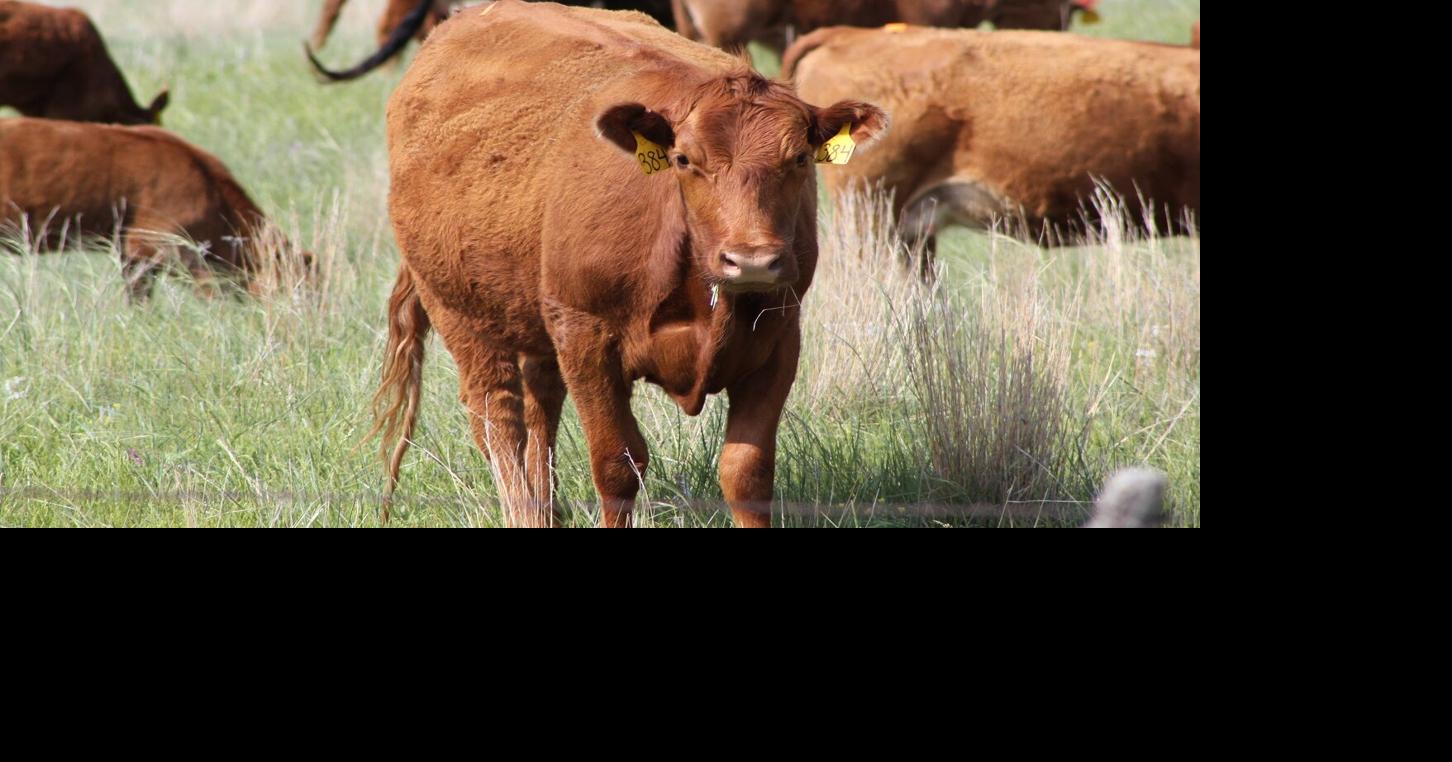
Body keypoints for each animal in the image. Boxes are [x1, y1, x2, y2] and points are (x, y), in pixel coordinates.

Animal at [374, 0, 886, 528]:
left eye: (800, 158)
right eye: (684, 159)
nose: (752, 260)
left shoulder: (780, 336)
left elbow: (747, 471)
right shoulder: (585, 337)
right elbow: (617, 465)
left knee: (541, 411)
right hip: (461, 314)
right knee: (499, 421)